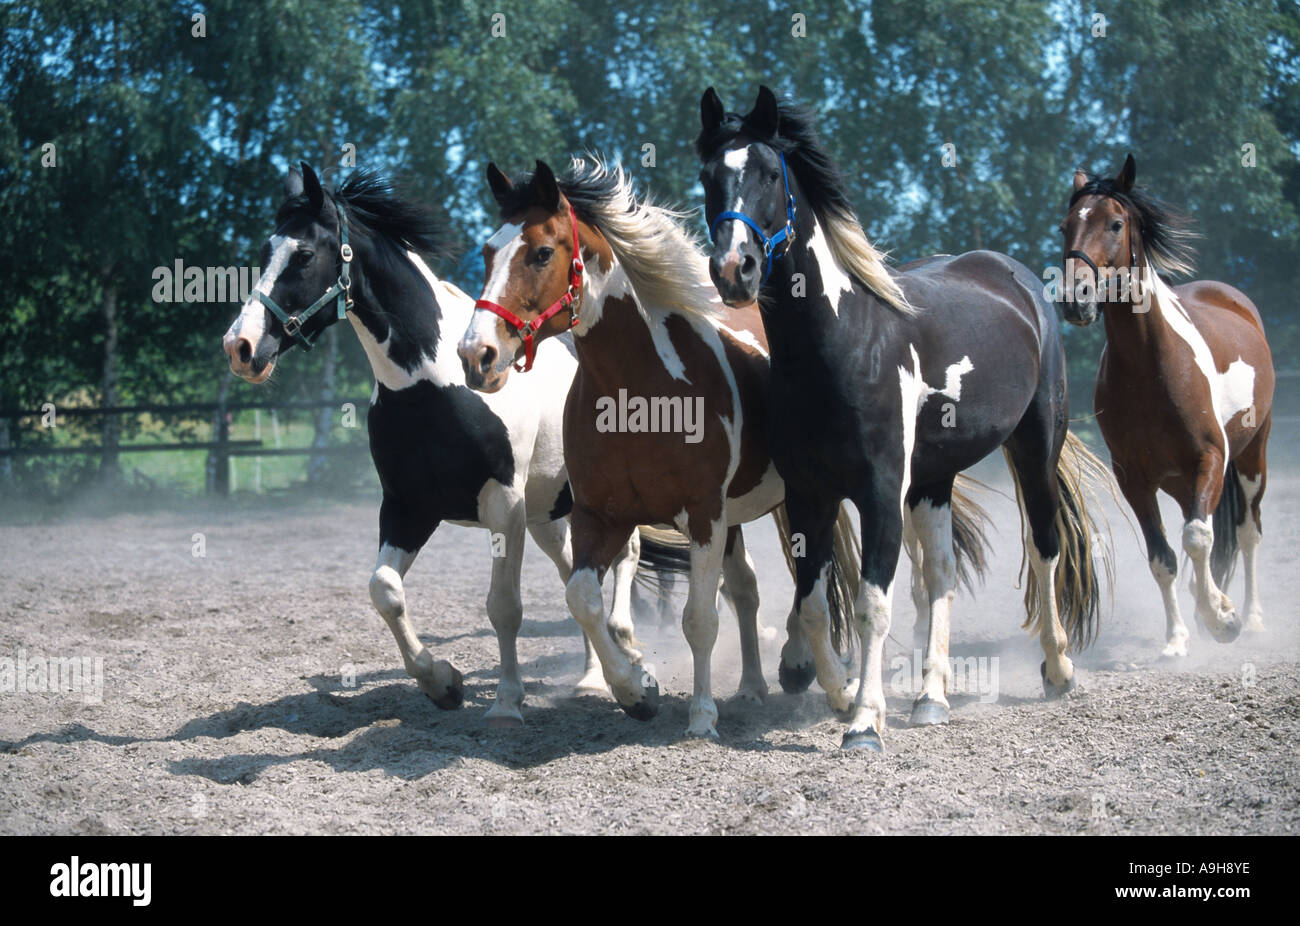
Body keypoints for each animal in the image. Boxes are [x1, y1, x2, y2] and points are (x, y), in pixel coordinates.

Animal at [220, 162, 653, 726]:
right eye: (266, 248)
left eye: (305, 255)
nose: (241, 346)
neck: (431, 384)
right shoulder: (408, 507)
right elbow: (384, 590)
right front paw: (442, 683)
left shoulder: (504, 508)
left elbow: (504, 607)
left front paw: (507, 702)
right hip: (549, 516)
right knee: (574, 578)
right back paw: (589, 680)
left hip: (600, 504)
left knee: (625, 559)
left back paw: (630, 658)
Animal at [696, 86, 1113, 751]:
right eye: (710, 175)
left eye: (768, 173)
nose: (735, 269)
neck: (843, 342)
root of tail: (1016, 279)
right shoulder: (811, 494)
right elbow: (814, 603)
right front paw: (841, 695)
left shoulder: (879, 491)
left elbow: (872, 604)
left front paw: (865, 721)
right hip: (935, 479)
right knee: (939, 575)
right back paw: (930, 697)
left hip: (1033, 449)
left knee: (1045, 545)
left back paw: (1058, 669)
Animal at [1056, 154, 1274, 656]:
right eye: (1064, 227)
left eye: (1115, 223)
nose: (1075, 300)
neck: (1150, 367)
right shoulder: (1134, 477)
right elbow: (1164, 557)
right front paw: (1177, 640)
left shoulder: (1210, 459)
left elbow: (1197, 537)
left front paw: (1222, 619)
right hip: (1178, 481)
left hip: (1251, 458)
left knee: (1246, 532)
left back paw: (1251, 618)